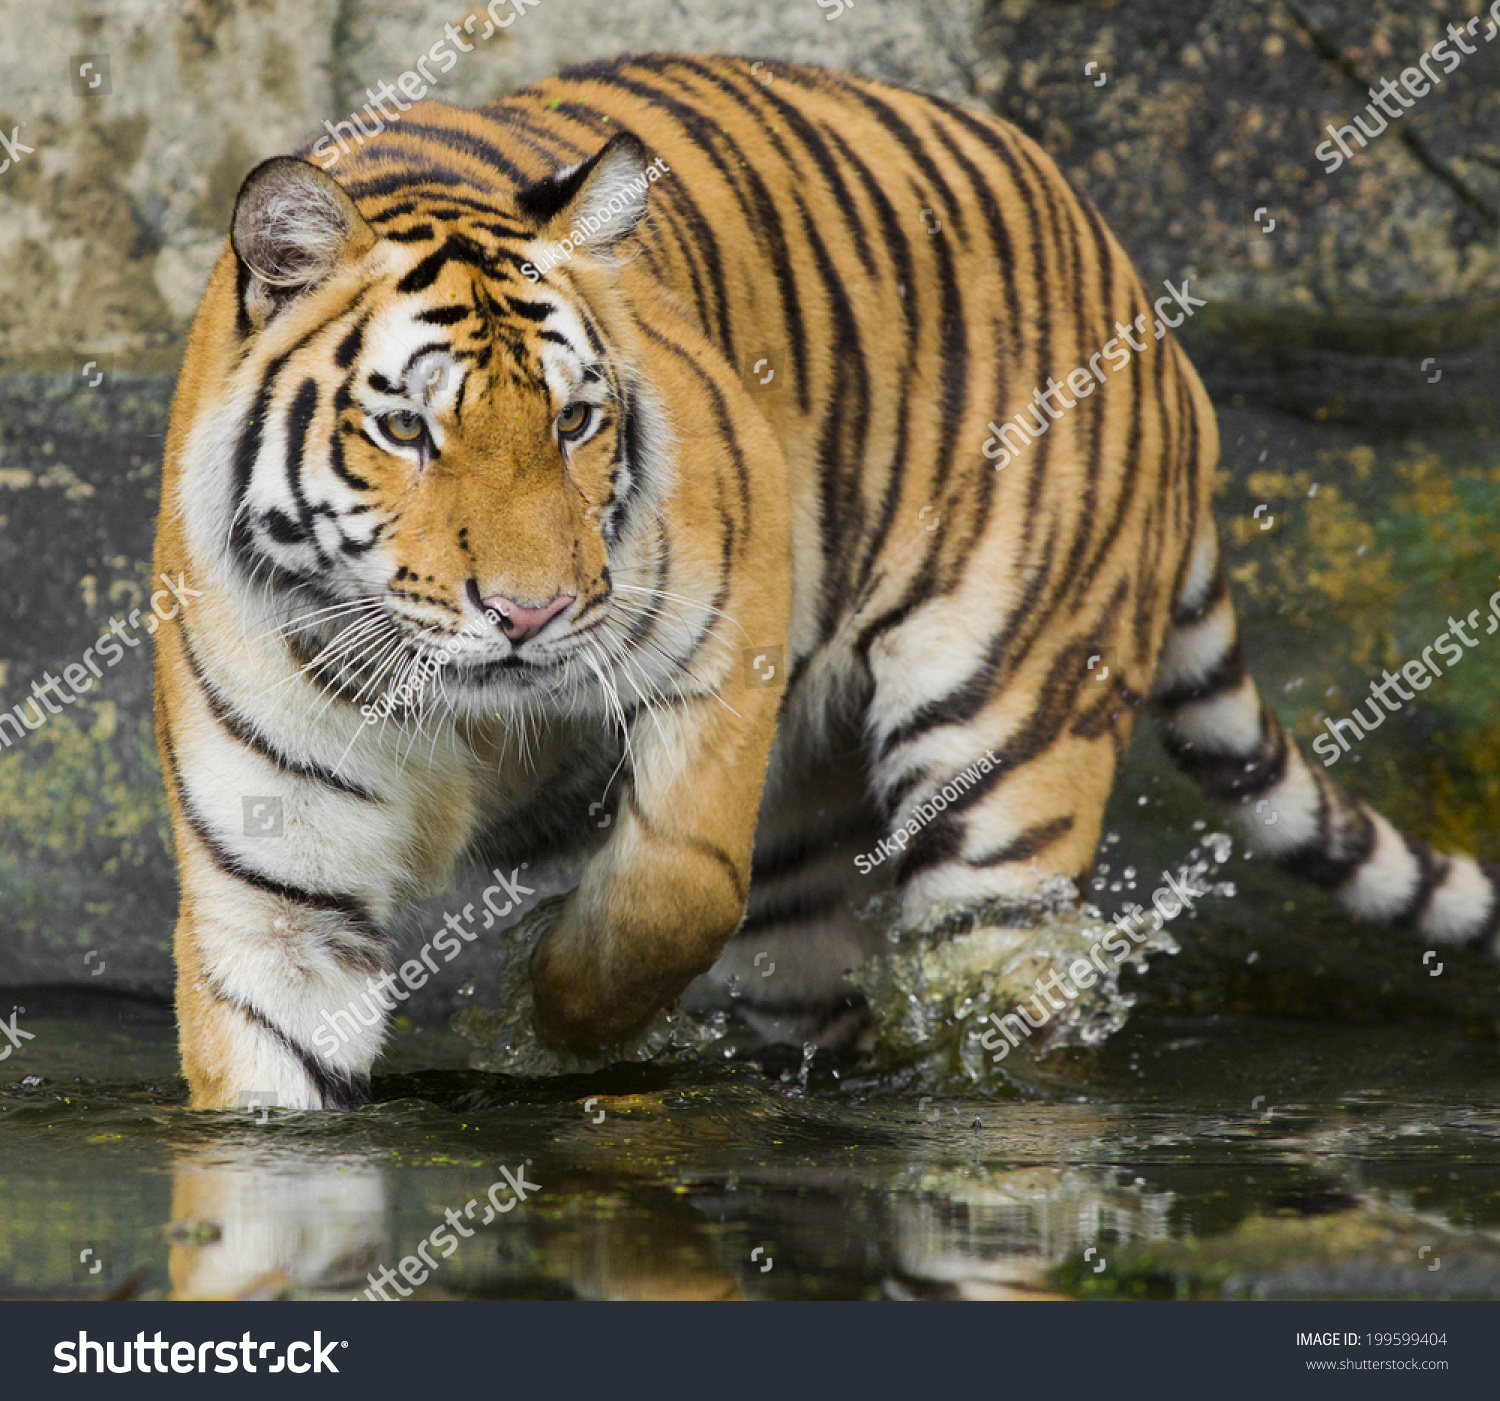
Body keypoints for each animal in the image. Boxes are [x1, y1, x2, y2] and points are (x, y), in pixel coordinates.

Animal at [154, 54, 1500, 1110]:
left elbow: (675, 889)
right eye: (408, 431)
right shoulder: (278, 896)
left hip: (1004, 759)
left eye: (577, 421)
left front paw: (557, 1009)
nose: (530, 614)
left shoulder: (727, 635)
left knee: (1002, 988)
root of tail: (1138, 295)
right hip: (816, 856)